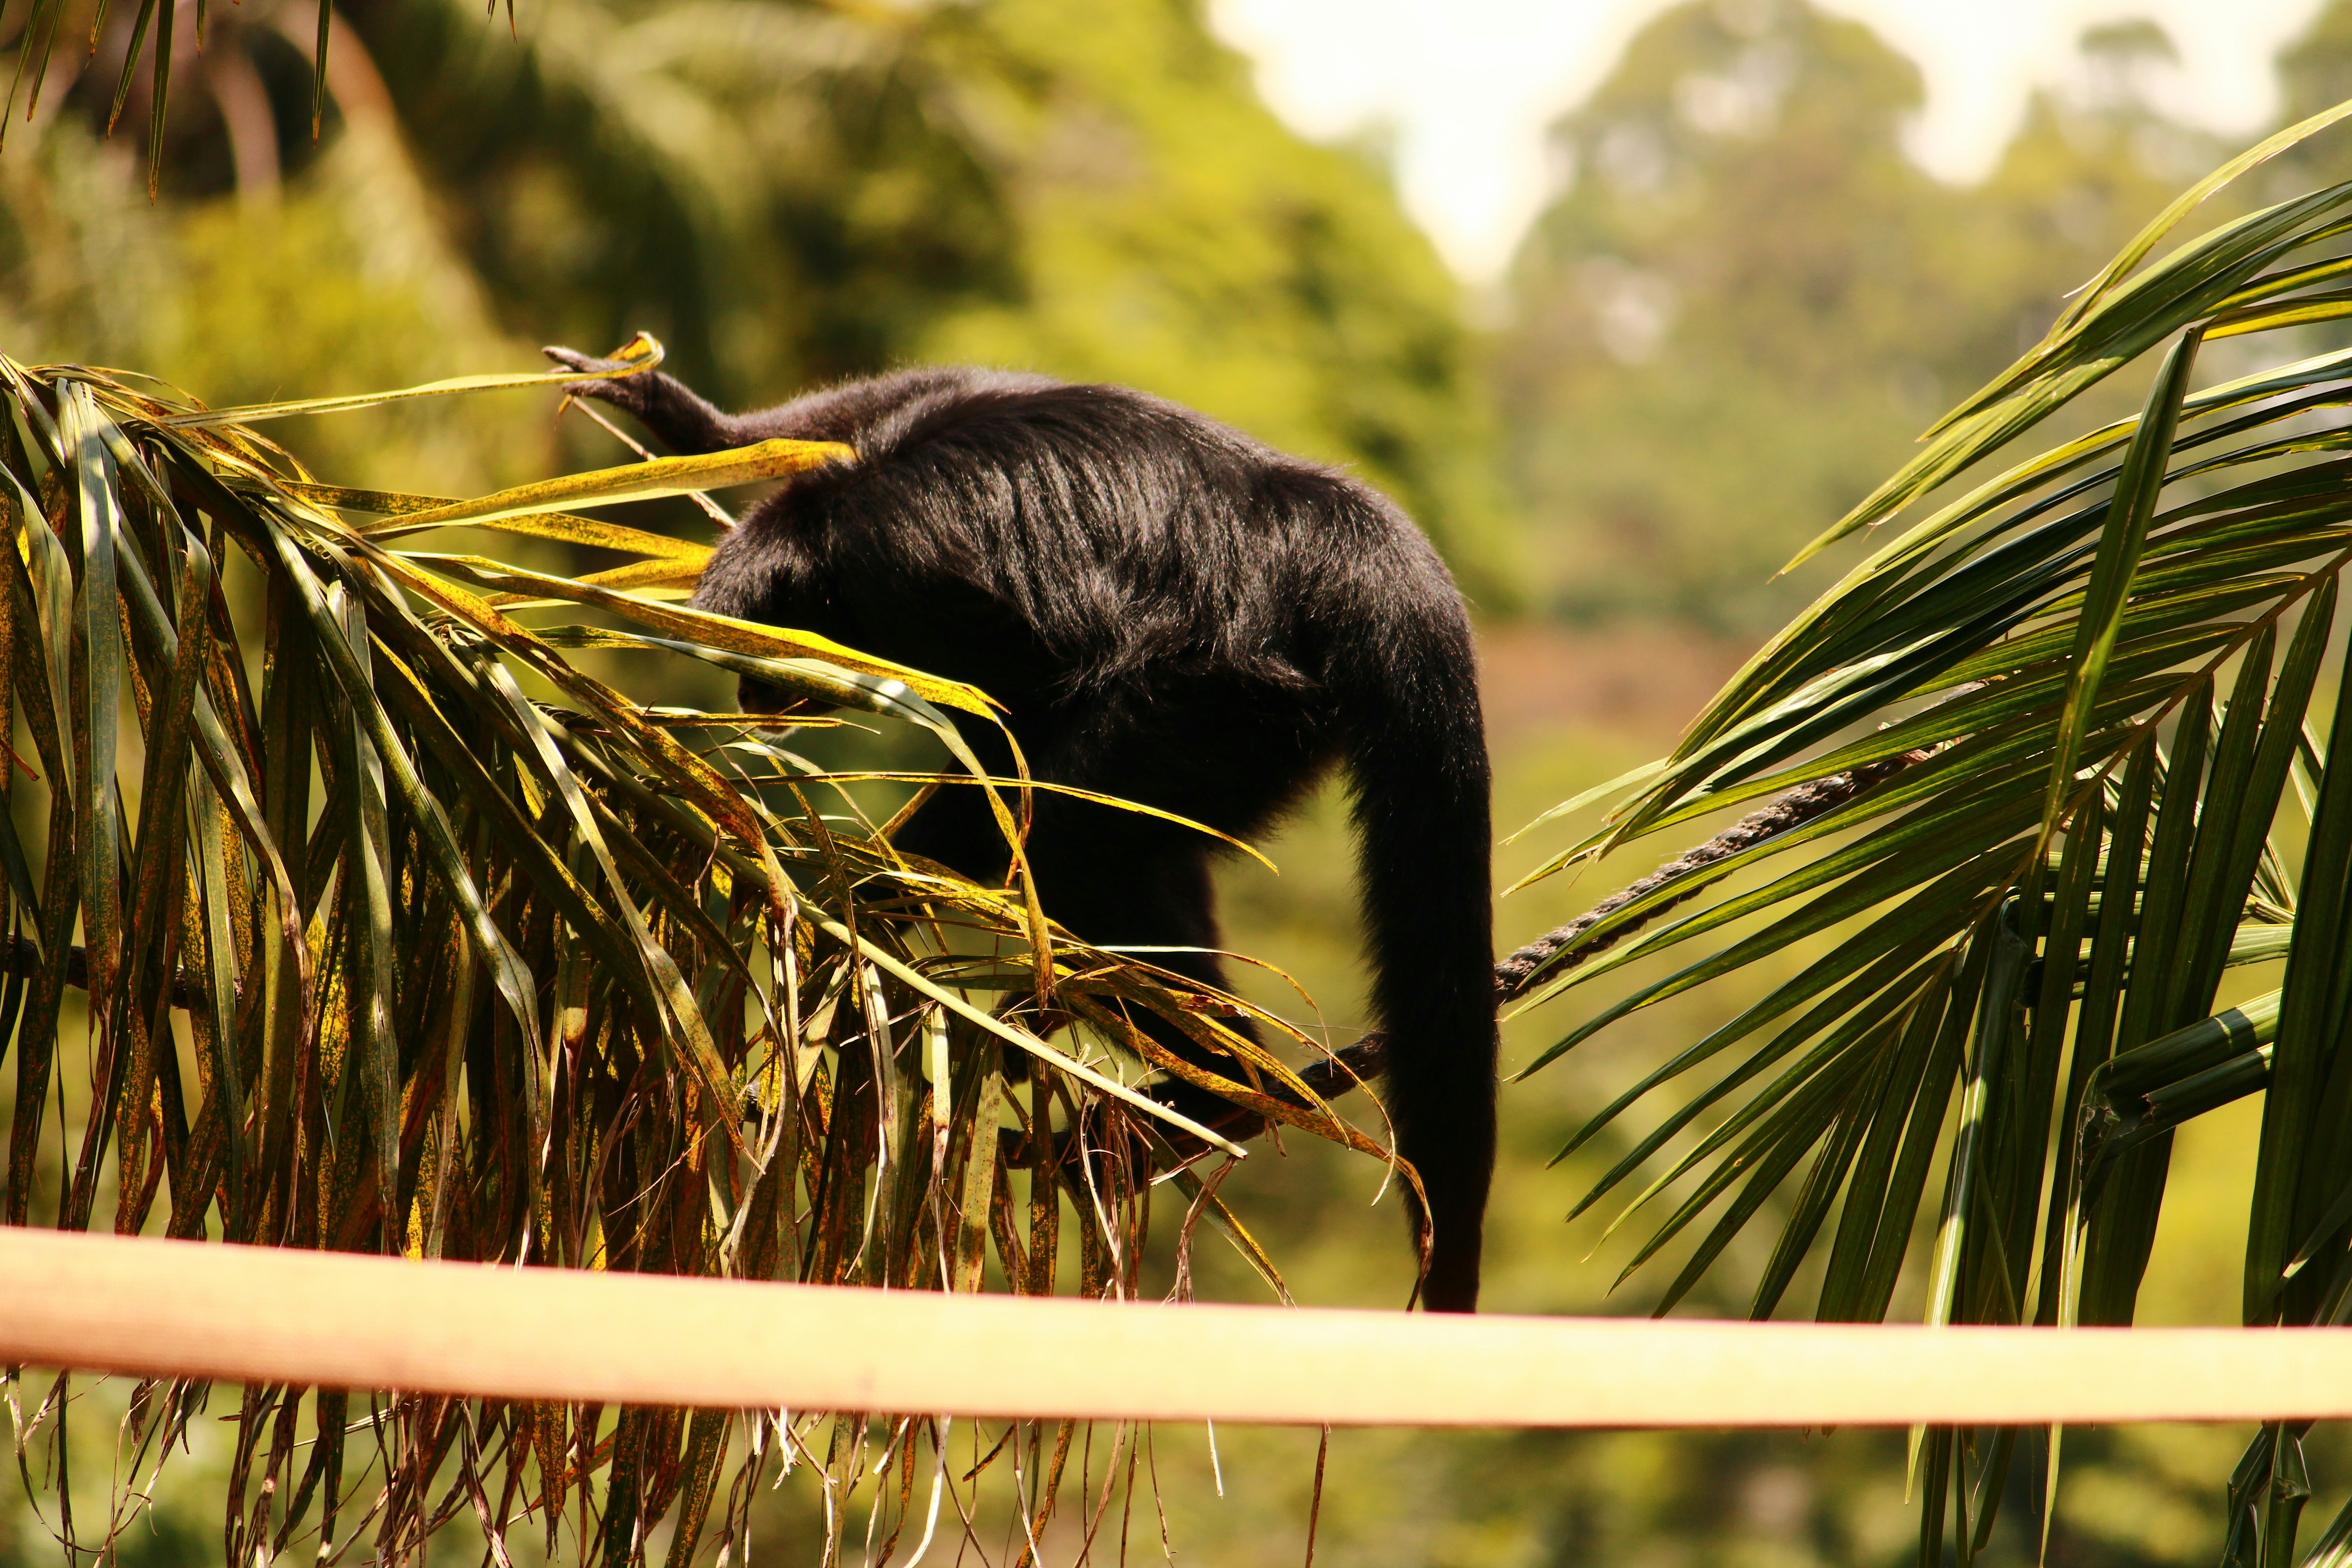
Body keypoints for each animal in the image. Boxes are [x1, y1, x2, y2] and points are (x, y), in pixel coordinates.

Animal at [545, 346, 1498, 1313]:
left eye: (762, 655)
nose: (748, 690)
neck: (840, 514)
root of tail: (1308, 515)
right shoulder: (931, 409)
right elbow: (916, 387)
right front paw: (686, 417)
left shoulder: (906, 570)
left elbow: (1021, 711)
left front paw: (866, 874)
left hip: (1229, 694)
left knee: (1081, 832)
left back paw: (1224, 1086)